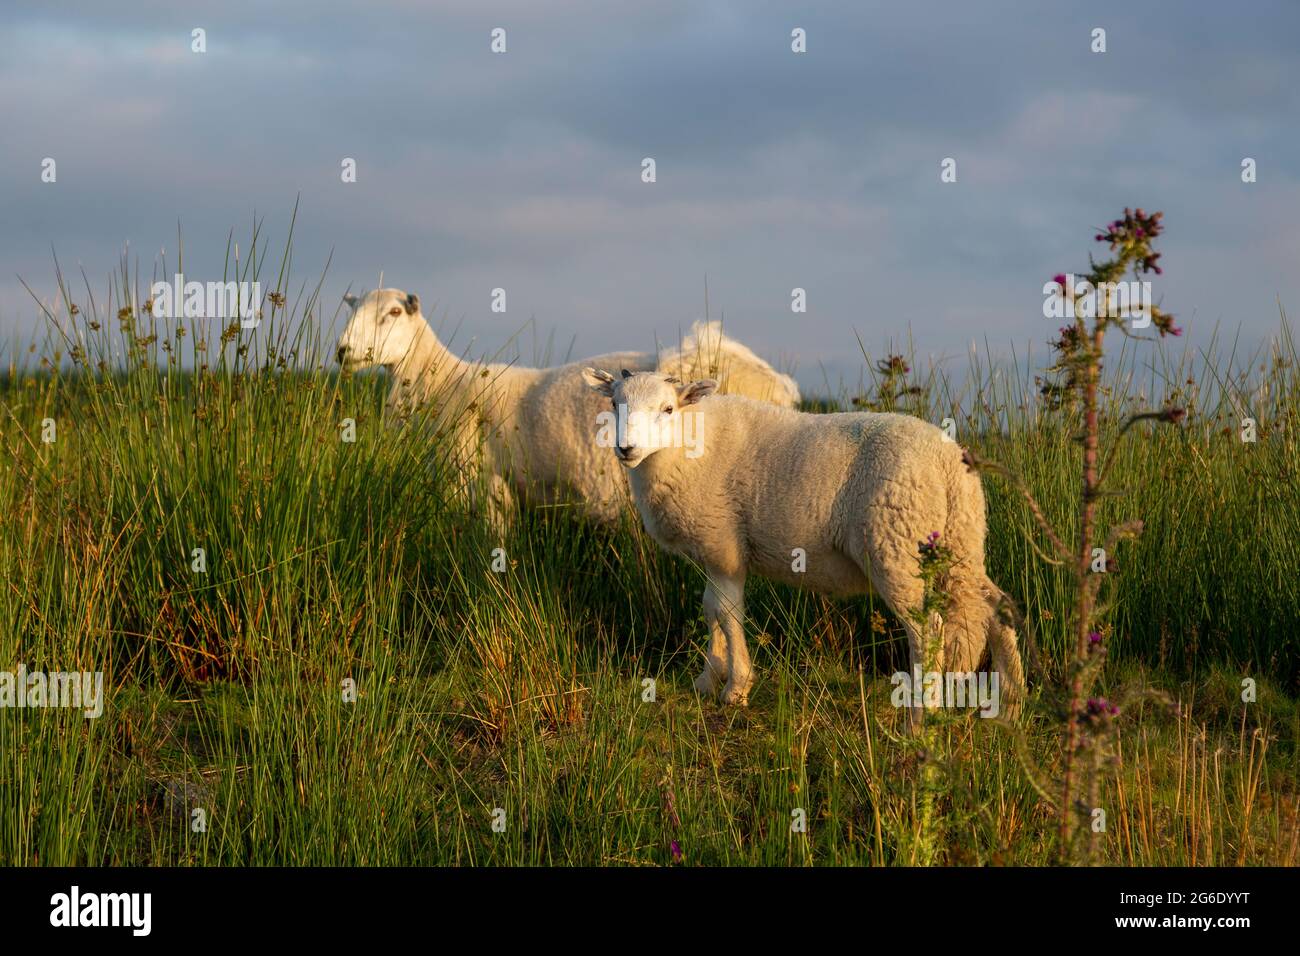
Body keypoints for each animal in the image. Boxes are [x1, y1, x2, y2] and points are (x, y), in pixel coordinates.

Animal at [335, 288, 799, 526]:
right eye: (353, 309)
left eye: (394, 312)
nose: (342, 352)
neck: (442, 381)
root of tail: (774, 385)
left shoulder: (480, 482)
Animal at [581, 368, 1025, 722]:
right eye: (615, 403)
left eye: (668, 409)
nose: (626, 449)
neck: (684, 449)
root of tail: (950, 462)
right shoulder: (715, 550)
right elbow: (710, 609)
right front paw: (708, 678)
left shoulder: (724, 542)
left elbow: (727, 613)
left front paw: (736, 687)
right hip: (960, 542)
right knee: (994, 607)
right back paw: (1008, 707)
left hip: (898, 547)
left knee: (927, 630)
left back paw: (921, 716)